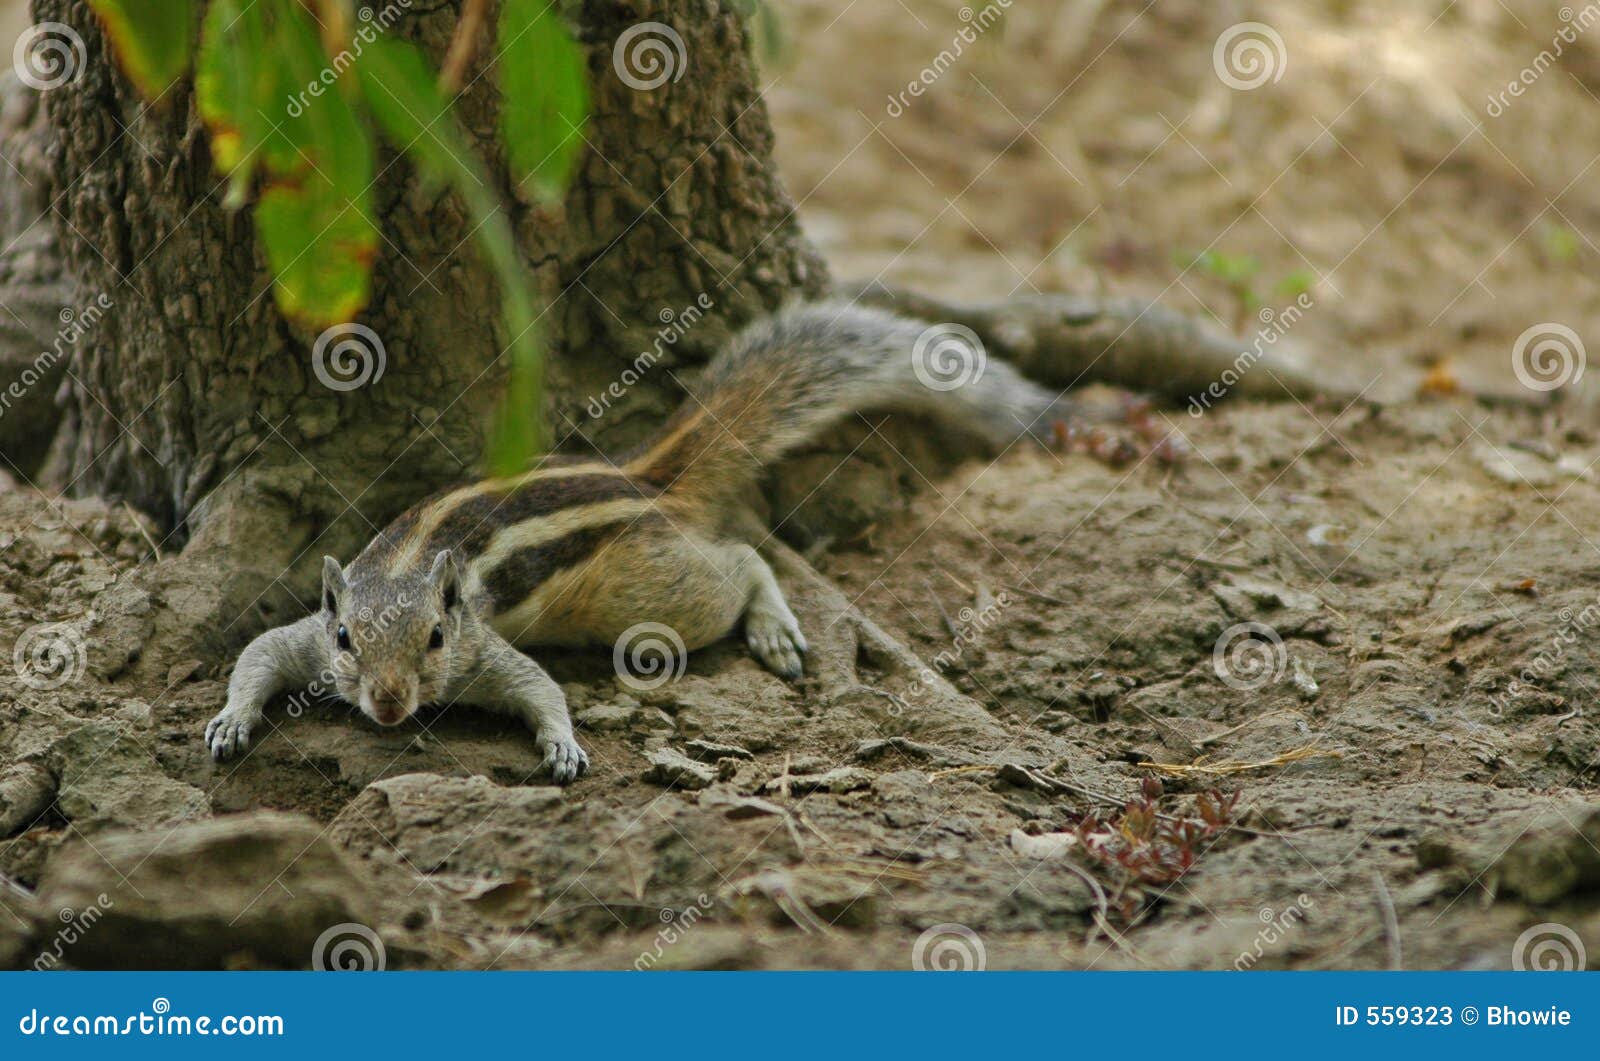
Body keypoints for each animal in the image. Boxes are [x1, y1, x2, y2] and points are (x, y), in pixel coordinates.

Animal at [204, 301, 1088, 783]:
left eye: (435, 638)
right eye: (346, 639)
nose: (388, 704)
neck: (403, 564)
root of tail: (643, 481)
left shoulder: (483, 650)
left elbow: (537, 685)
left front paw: (562, 744)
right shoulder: (308, 639)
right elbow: (259, 651)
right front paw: (230, 721)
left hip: (650, 593)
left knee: (739, 564)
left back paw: (773, 624)